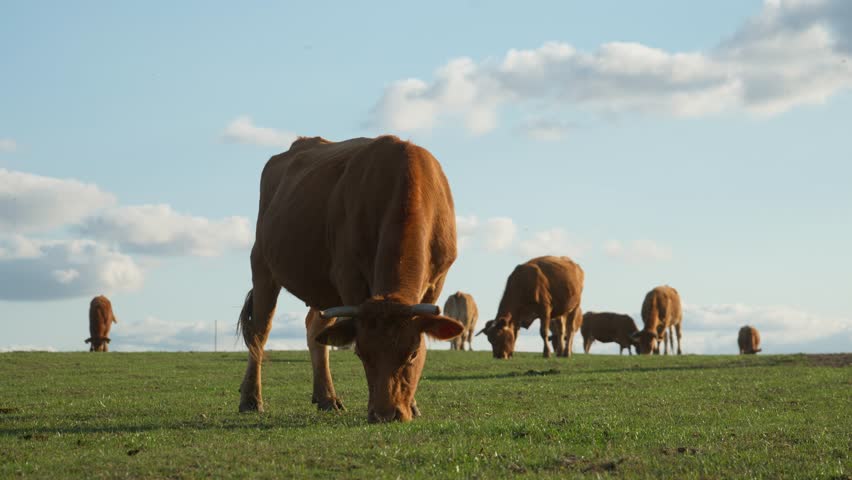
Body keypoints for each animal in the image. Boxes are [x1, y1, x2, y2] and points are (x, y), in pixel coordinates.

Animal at [236, 135, 464, 423]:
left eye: (412, 353)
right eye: (360, 353)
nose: (386, 414)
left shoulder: (436, 281)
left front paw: (413, 406)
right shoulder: (349, 277)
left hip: (321, 288)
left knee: (314, 329)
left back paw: (327, 398)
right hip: (263, 267)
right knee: (259, 333)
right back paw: (251, 399)